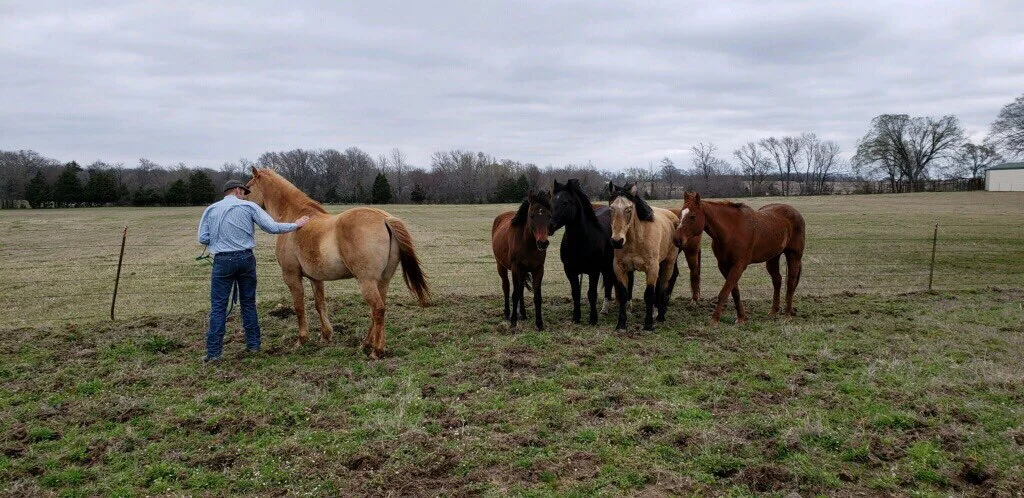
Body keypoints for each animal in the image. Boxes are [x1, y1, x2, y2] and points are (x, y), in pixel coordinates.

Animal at [245, 167, 430, 359]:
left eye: (247, 188)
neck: (295, 217)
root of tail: (384, 218)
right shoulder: (316, 278)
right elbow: (320, 304)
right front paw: (326, 335)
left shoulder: (292, 276)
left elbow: (299, 307)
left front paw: (301, 340)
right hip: (383, 281)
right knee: (378, 310)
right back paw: (367, 344)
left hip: (366, 281)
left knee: (378, 309)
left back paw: (376, 351)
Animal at [491, 190, 551, 330]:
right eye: (532, 216)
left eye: (549, 216)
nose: (543, 243)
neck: (527, 243)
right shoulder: (516, 267)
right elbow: (514, 294)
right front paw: (513, 322)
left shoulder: (538, 269)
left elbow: (537, 296)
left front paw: (539, 324)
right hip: (501, 266)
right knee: (506, 287)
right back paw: (507, 313)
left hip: (523, 271)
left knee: (521, 289)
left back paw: (523, 314)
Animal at [548, 179, 616, 325]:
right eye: (551, 201)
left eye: (565, 202)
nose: (549, 227)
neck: (581, 241)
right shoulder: (570, 271)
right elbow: (575, 293)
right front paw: (576, 317)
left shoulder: (594, 271)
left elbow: (592, 294)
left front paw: (593, 319)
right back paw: (605, 309)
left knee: (610, 282)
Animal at [608, 182, 680, 331]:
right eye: (611, 209)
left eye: (629, 209)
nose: (617, 241)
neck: (636, 240)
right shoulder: (620, 268)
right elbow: (623, 294)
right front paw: (621, 324)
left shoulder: (652, 268)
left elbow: (649, 295)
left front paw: (648, 324)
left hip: (668, 264)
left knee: (663, 287)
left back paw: (660, 316)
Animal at [675, 191, 804, 325]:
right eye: (680, 215)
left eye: (693, 216)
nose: (677, 240)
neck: (731, 231)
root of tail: (795, 212)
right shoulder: (723, 266)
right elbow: (734, 291)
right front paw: (741, 317)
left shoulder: (738, 266)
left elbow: (724, 292)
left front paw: (714, 320)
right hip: (773, 258)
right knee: (777, 280)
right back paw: (773, 311)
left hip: (794, 256)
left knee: (790, 283)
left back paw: (787, 315)